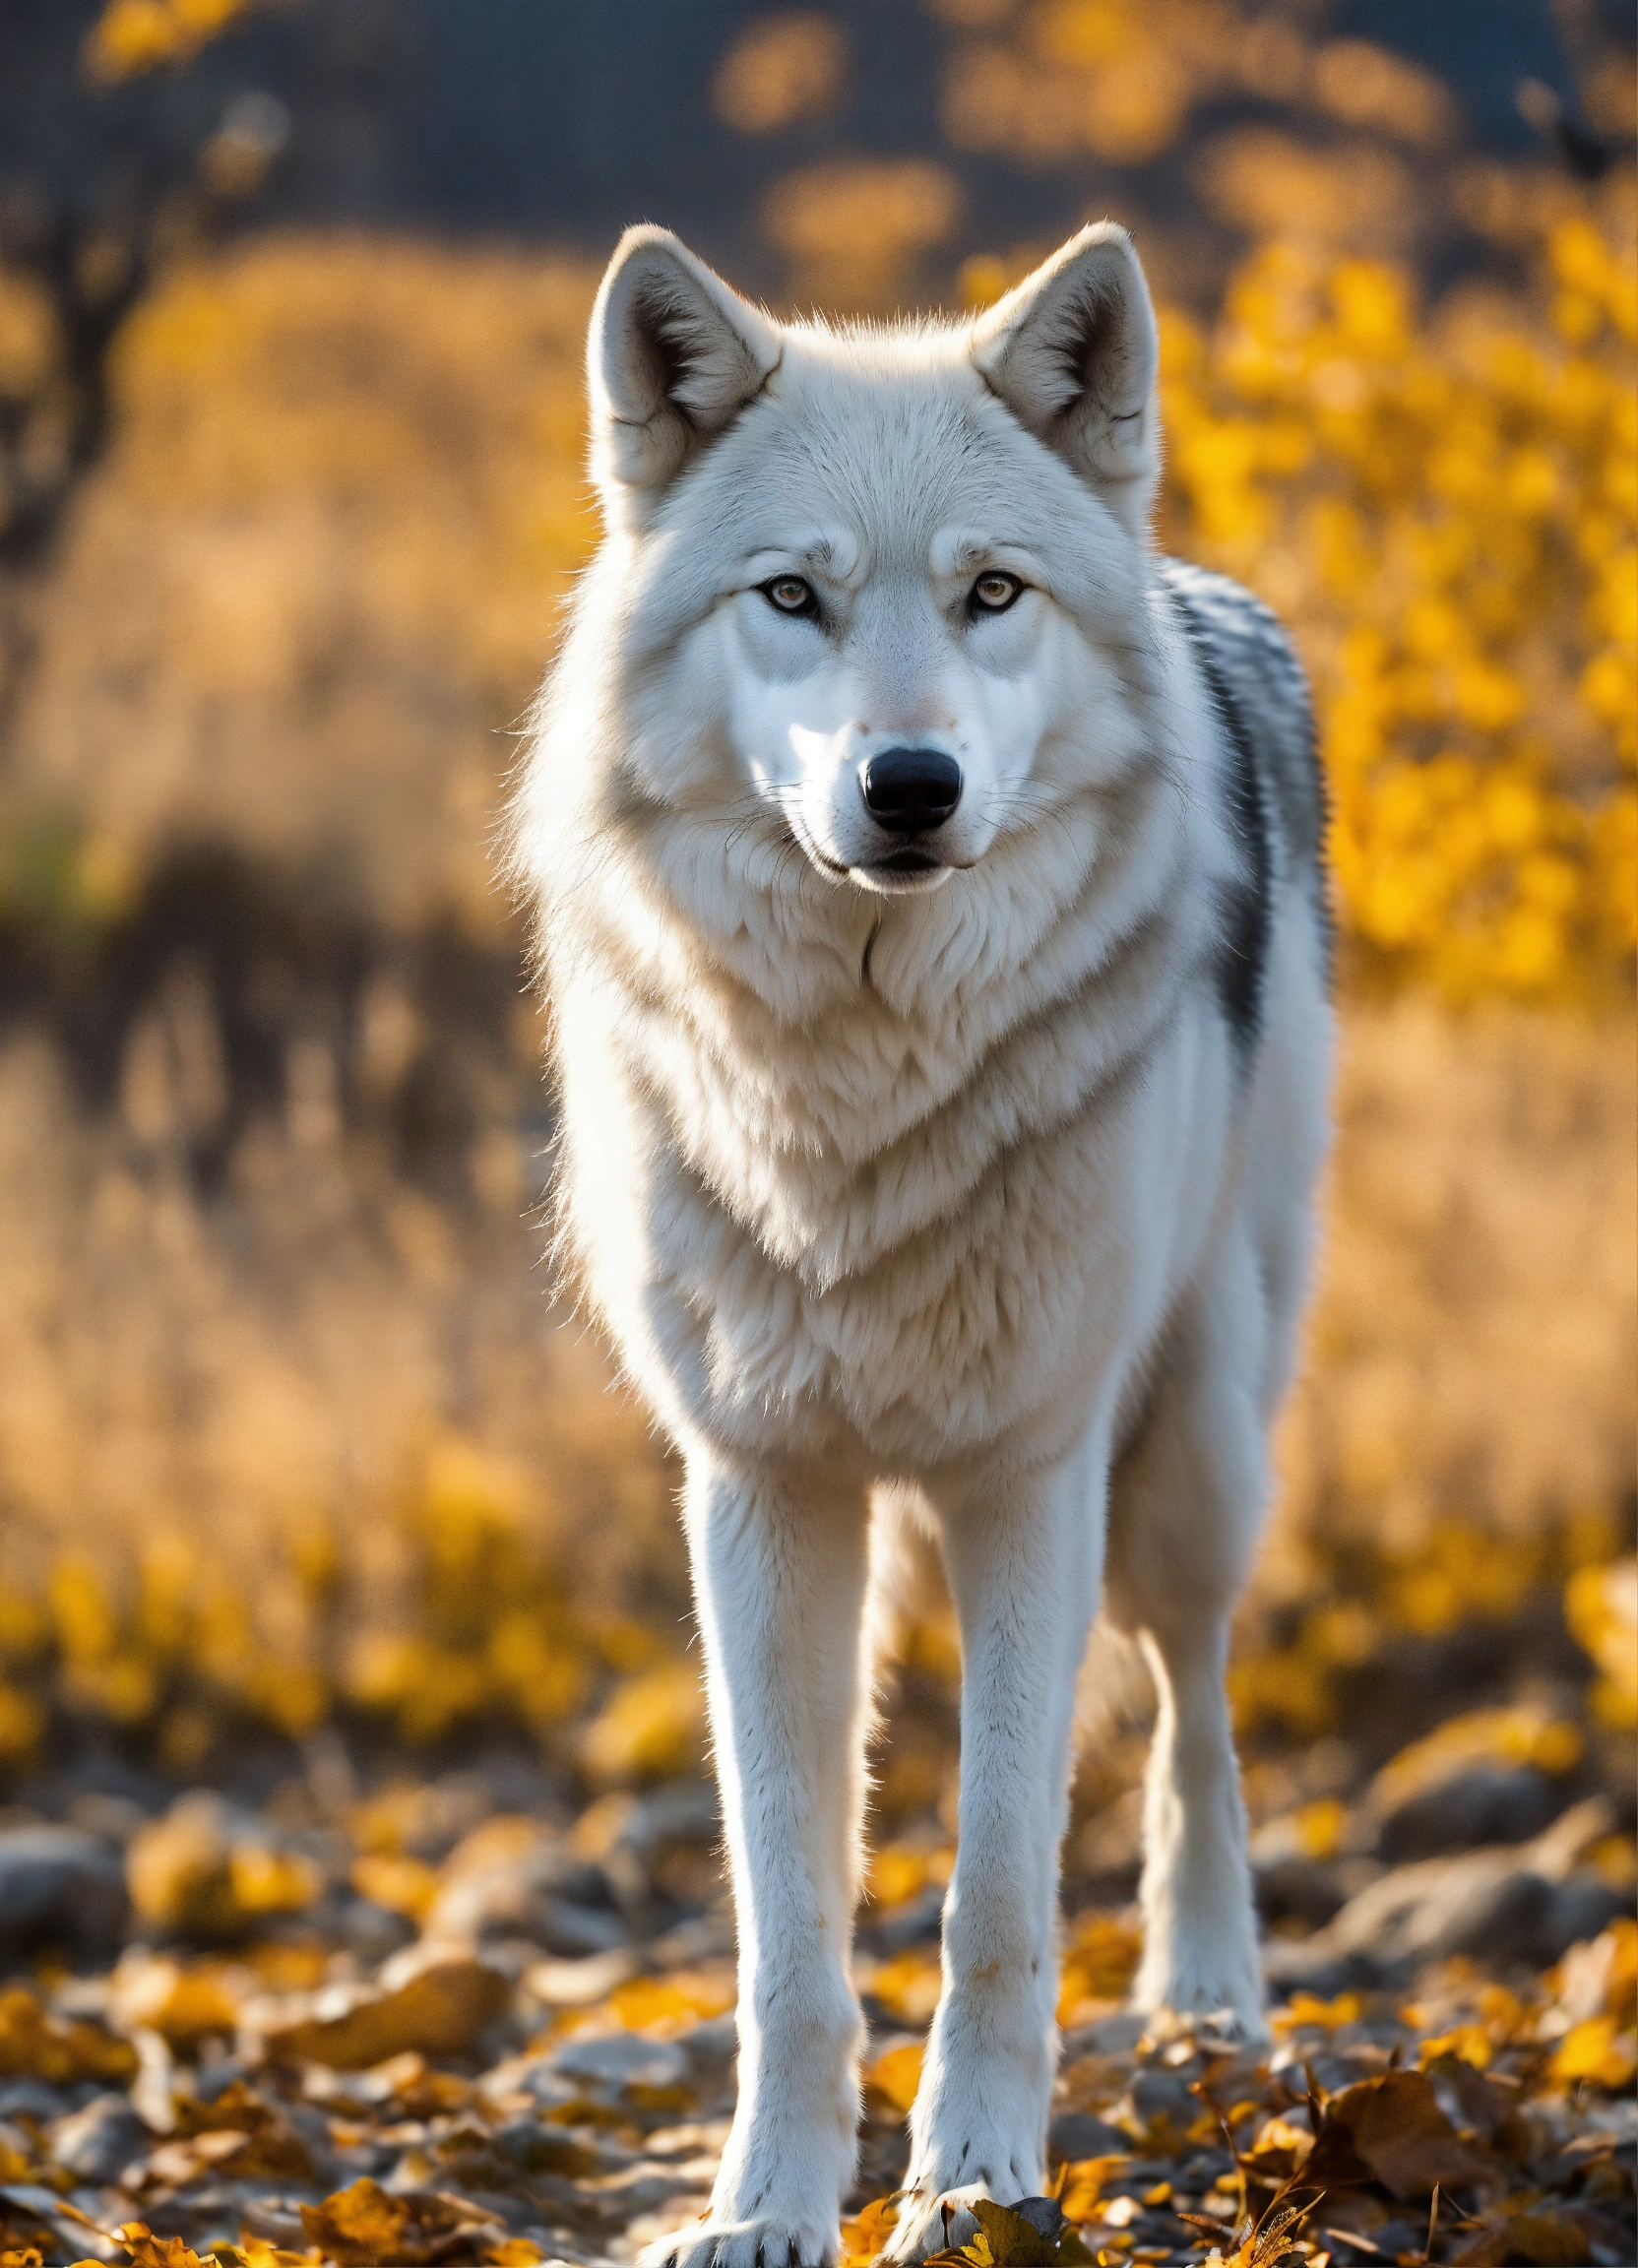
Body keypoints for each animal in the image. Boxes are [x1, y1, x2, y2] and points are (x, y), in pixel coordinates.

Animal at [510, 220, 1332, 2268]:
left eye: (990, 594)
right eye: (790, 596)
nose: (906, 785)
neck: (853, 1110)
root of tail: (1195, 582)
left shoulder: (1028, 1480)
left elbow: (995, 1898)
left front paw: (968, 2183)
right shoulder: (756, 1495)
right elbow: (789, 1928)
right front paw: (763, 2206)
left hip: (1189, 1445)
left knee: (1194, 1707)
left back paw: (1208, 1996)